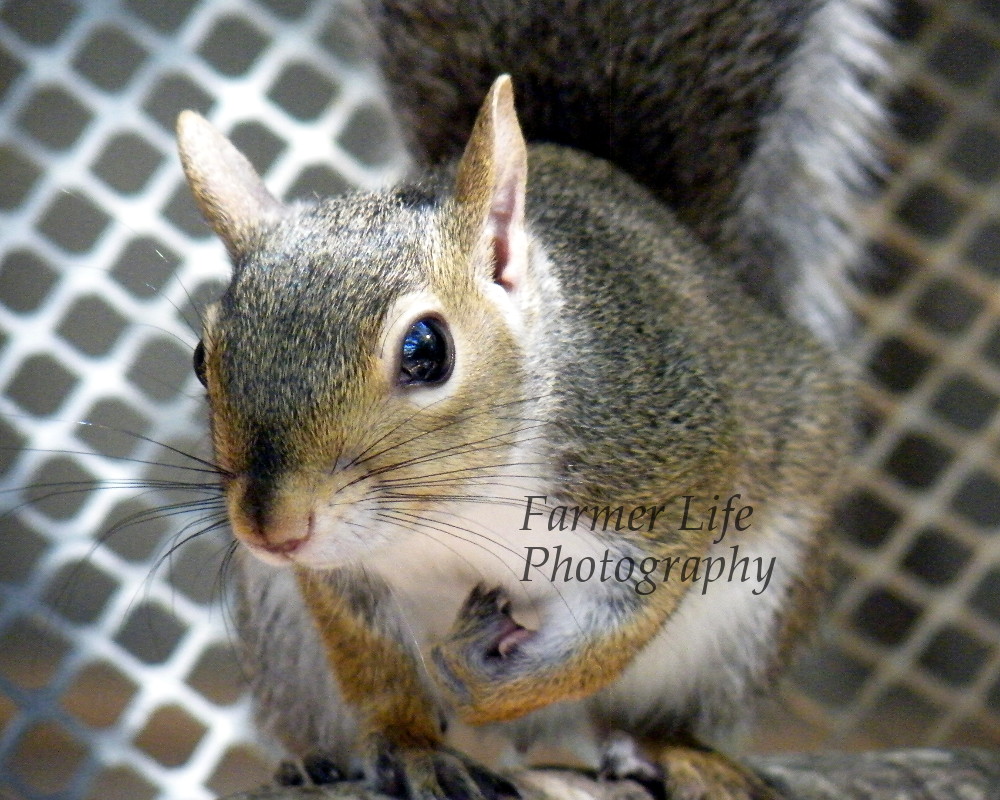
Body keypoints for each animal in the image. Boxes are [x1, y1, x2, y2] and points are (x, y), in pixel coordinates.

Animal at [174, 1, 884, 798]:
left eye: (426, 350)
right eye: (202, 358)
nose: (274, 530)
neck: (453, 506)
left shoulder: (668, 486)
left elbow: (614, 638)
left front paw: (490, 686)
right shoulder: (339, 574)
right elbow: (374, 663)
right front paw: (411, 744)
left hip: (752, 608)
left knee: (643, 713)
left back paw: (671, 749)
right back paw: (319, 761)